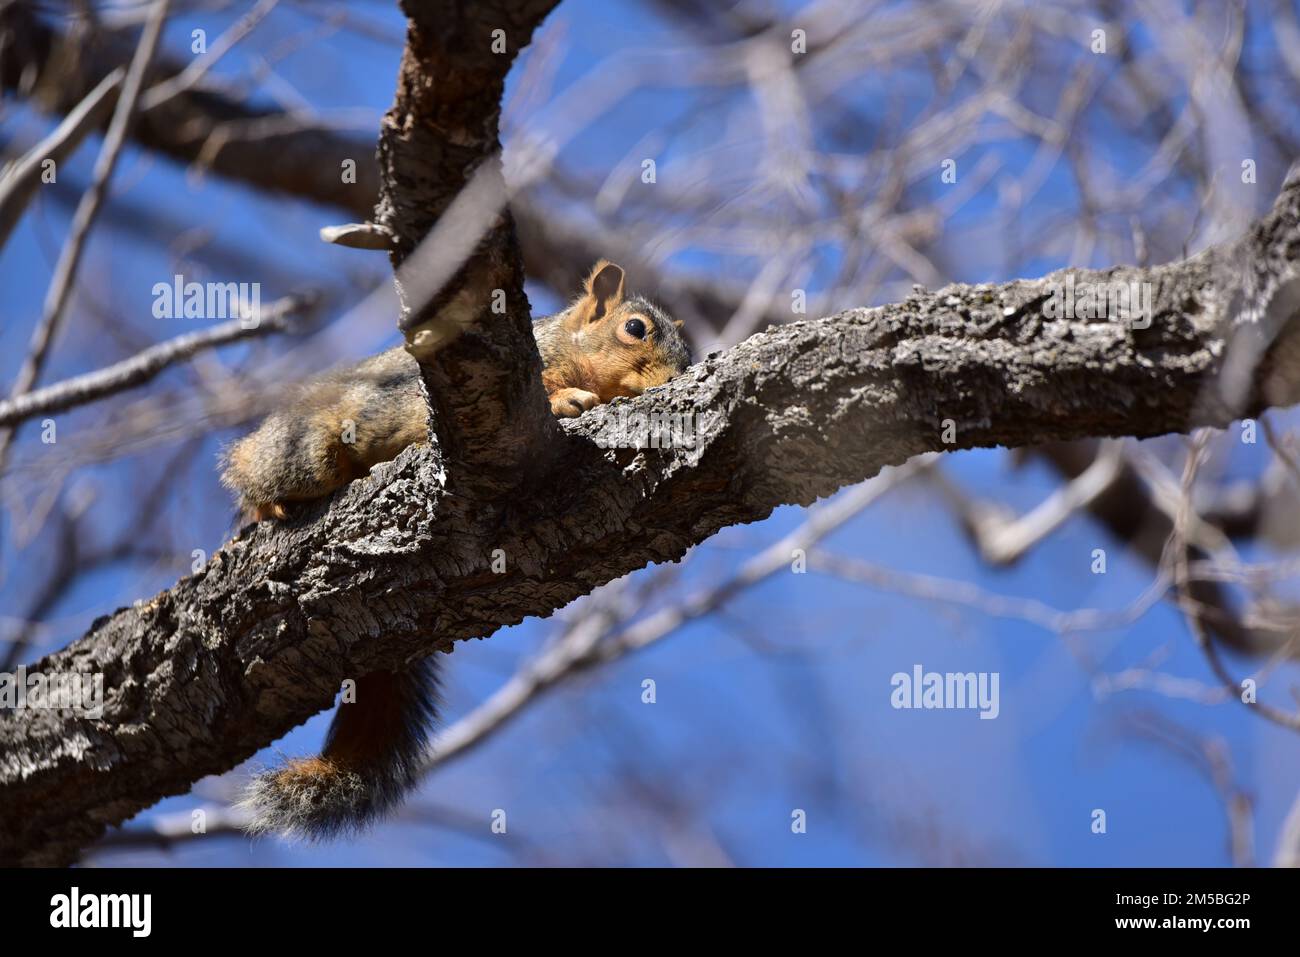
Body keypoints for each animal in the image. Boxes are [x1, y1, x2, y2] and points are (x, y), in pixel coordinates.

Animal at [221, 260, 691, 839]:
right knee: (252, 475)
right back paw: (266, 507)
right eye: (635, 328)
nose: (676, 377)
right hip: (304, 454)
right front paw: (567, 401)